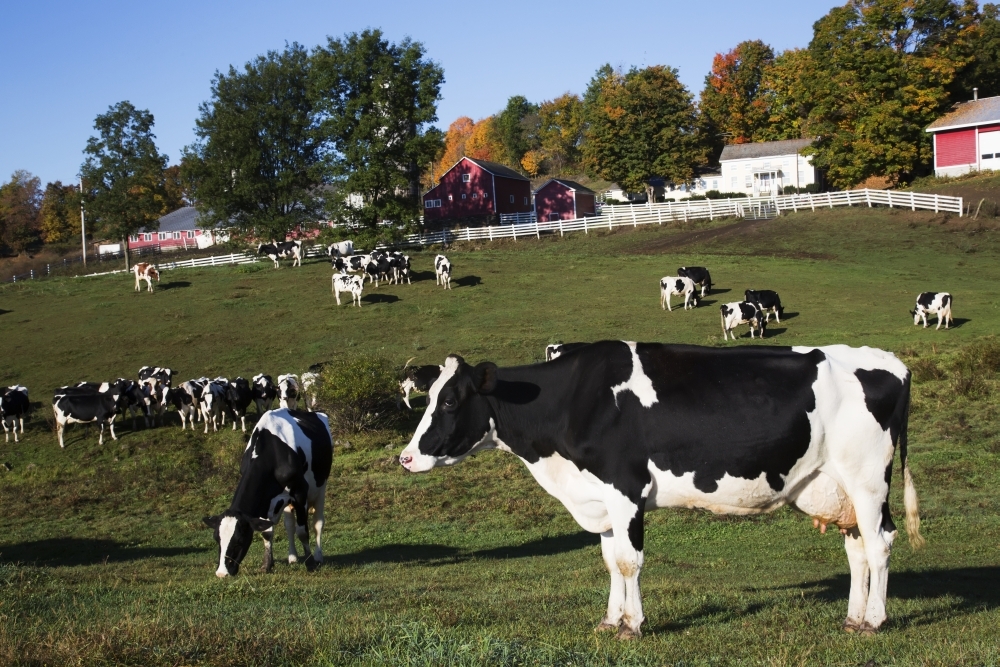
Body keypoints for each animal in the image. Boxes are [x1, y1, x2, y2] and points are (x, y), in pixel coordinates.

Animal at [203, 408, 333, 577]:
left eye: (240, 540)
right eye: (217, 539)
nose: (221, 573)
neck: (272, 453)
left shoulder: (300, 492)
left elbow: (302, 531)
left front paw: (310, 563)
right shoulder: (265, 500)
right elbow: (267, 532)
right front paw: (267, 564)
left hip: (320, 488)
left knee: (317, 523)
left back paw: (318, 556)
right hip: (286, 502)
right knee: (289, 525)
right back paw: (292, 557)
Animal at [399, 342, 924, 638]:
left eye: (451, 400)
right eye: (427, 396)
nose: (406, 457)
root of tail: (891, 362)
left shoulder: (625, 487)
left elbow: (630, 561)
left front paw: (633, 625)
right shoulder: (600, 497)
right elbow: (611, 560)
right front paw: (610, 621)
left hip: (867, 479)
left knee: (880, 544)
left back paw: (874, 621)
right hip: (838, 487)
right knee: (857, 549)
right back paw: (853, 618)